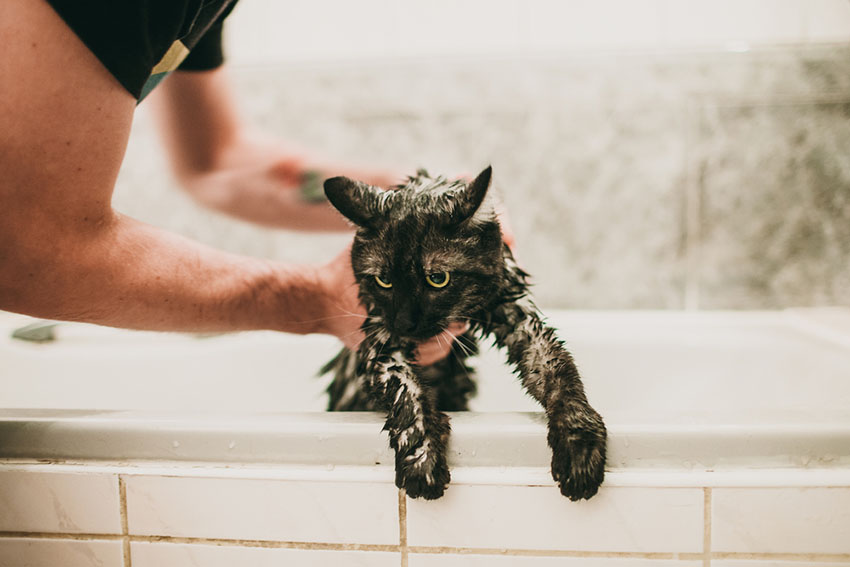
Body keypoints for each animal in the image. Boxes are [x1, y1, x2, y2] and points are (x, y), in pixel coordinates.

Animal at [318, 165, 604, 502]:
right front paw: (422, 459)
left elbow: (558, 370)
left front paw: (579, 444)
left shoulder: (519, 316)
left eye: (438, 279)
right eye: (383, 281)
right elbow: (408, 393)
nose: (404, 324)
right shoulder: (382, 342)